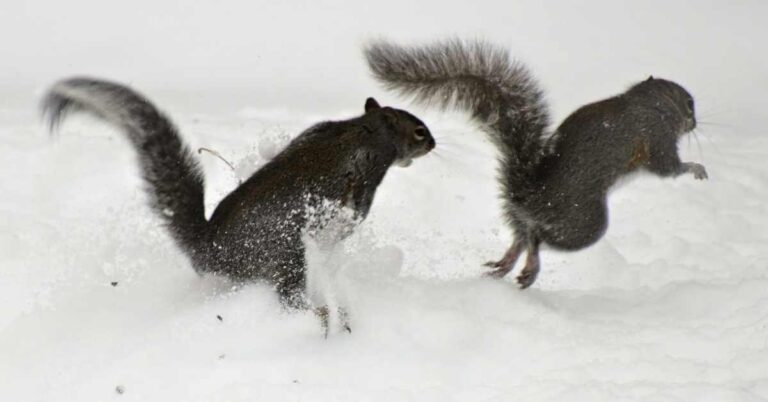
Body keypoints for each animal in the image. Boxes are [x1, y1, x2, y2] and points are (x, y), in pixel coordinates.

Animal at [41, 77, 435, 319]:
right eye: (418, 130)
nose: (432, 143)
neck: (364, 131)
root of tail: (208, 253)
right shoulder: (362, 175)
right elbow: (353, 207)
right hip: (284, 254)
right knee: (285, 292)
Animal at [364, 39, 707, 289]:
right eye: (689, 104)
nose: (694, 123)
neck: (649, 104)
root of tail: (528, 192)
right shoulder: (656, 136)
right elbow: (667, 168)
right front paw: (696, 169)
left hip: (518, 215)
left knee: (520, 235)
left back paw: (506, 263)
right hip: (583, 224)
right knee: (537, 238)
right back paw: (530, 267)